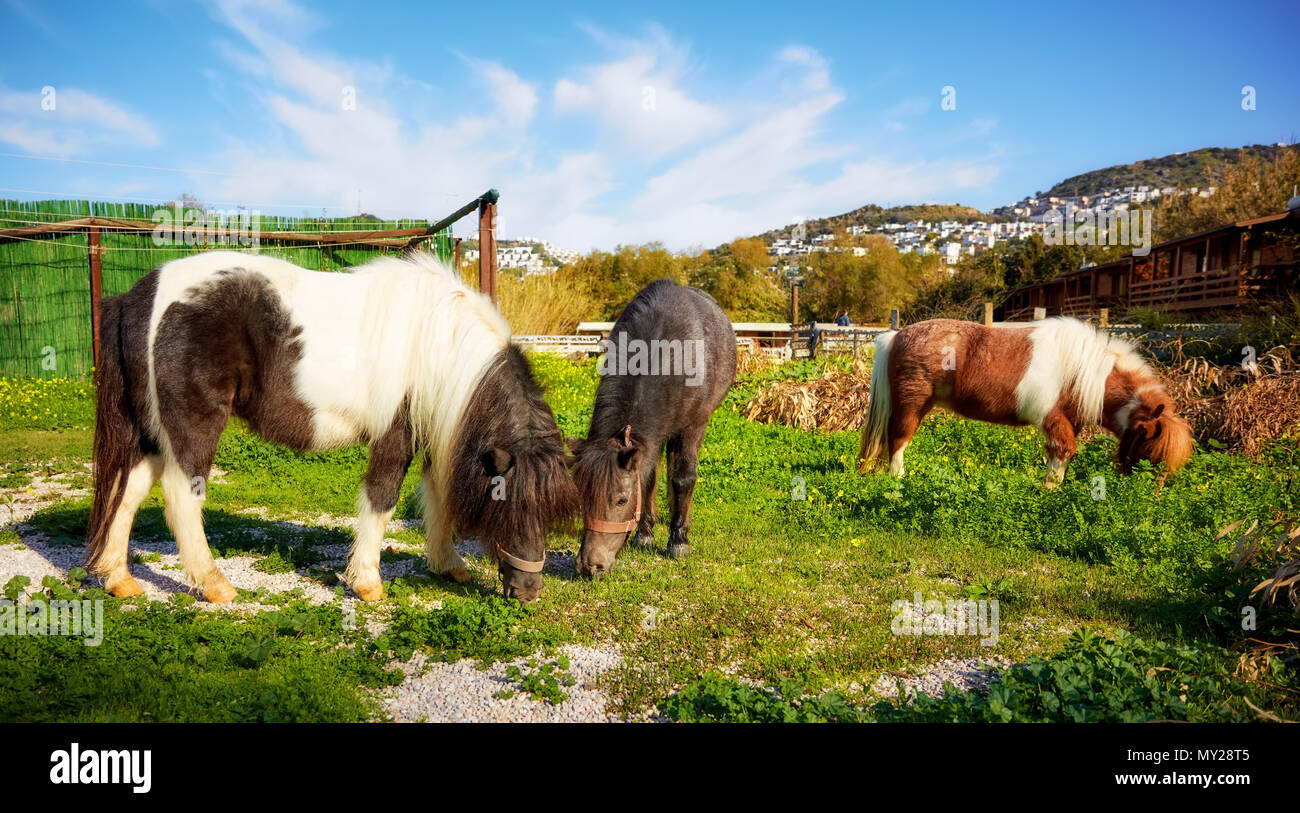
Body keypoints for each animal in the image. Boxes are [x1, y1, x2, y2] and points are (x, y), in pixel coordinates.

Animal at [86, 250, 576, 605]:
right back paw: (214, 584)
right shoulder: (396, 438)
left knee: (128, 491)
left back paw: (118, 578)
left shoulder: (436, 436)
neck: (440, 343)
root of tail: (135, 297)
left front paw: (446, 562)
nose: (529, 593)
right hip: (193, 426)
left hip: (150, 432)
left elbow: (437, 495)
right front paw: (367, 583)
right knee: (181, 496)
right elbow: (382, 502)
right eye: (510, 505)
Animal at [568, 280, 736, 577]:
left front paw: (678, 539)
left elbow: (683, 478)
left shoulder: (693, 426)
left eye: (621, 500)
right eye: (583, 496)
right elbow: (647, 479)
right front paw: (646, 533)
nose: (590, 565)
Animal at [857, 317, 1193, 485]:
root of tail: (896, 336)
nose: (1150, 495)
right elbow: (1062, 454)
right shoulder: (1054, 422)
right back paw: (899, 480)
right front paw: (1049, 492)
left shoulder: (1071, 422)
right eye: (1150, 451)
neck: (1085, 372)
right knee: (897, 441)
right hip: (912, 407)